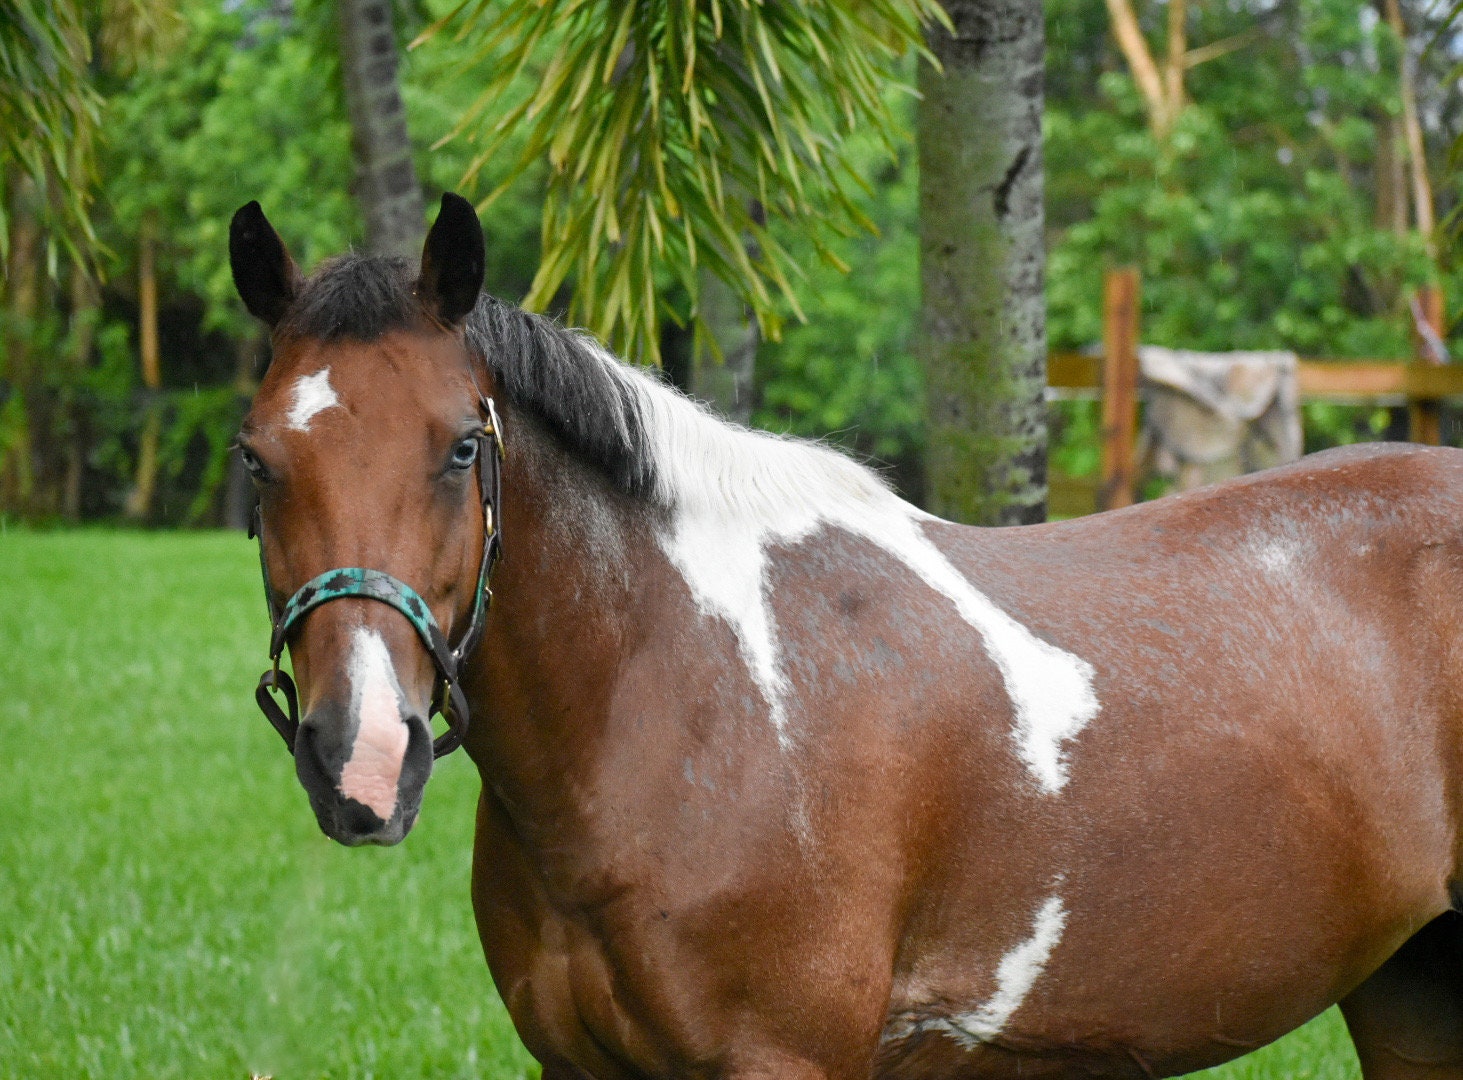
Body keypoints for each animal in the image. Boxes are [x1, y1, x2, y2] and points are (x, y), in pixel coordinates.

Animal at [229, 193, 1463, 1080]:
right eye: (257, 459)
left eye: (458, 448)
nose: (361, 756)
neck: (689, 705)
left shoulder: (783, 1059)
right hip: (1409, 993)